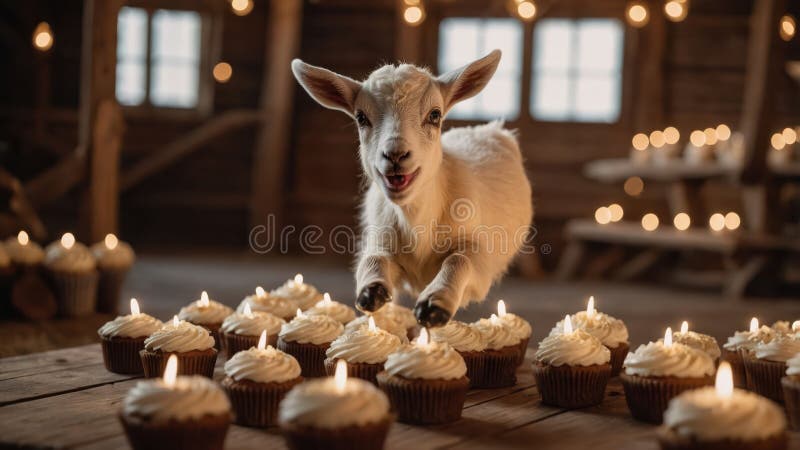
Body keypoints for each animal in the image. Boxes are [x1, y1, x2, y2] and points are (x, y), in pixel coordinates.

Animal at [291, 50, 532, 327]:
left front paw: (435, 303)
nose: (395, 154)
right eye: (361, 117)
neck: (416, 222)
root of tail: (489, 128)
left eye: (435, 115)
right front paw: (371, 292)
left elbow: (458, 260)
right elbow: (373, 258)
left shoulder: (481, 256)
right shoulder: (380, 238)